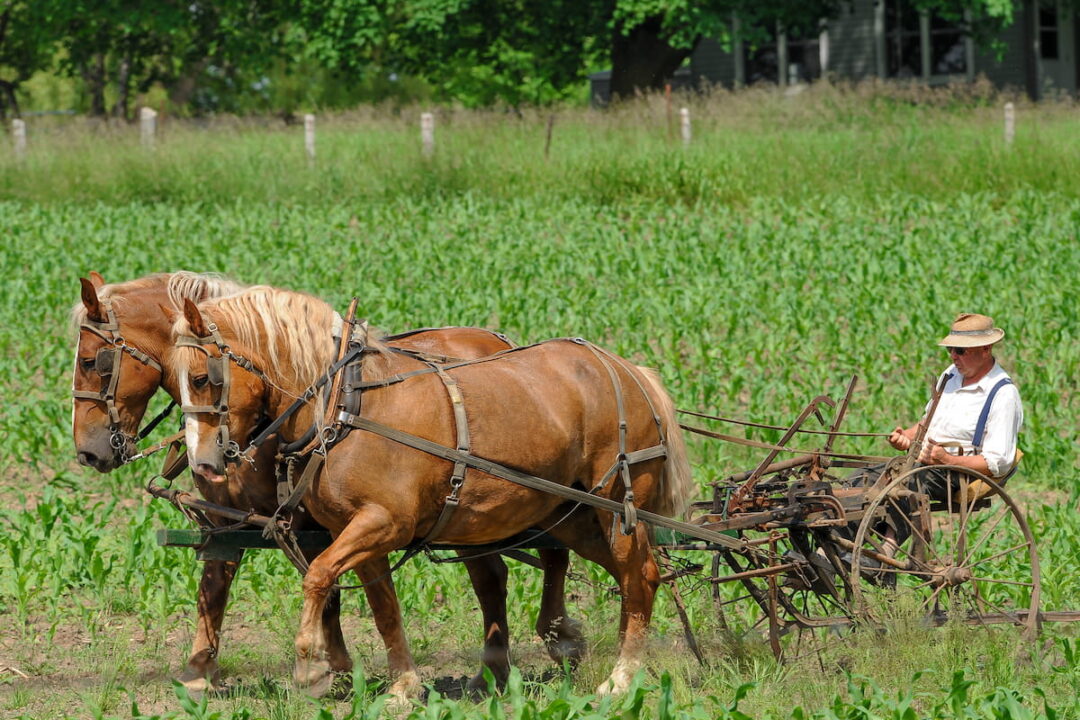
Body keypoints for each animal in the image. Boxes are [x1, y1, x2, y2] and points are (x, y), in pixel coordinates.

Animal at [71, 272, 584, 695]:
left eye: (92, 361)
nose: (88, 451)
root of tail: (496, 338)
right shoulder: (231, 521)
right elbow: (215, 585)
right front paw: (200, 671)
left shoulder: (312, 521)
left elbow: (333, 587)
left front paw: (329, 667)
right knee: (493, 575)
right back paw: (495, 671)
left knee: (551, 552)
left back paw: (558, 638)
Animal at [168, 285, 693, 697]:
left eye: (202, 377)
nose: (203, 464)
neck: (343, 406)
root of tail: (630, 371)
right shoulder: (356, 533)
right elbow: (383, 607)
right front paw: (402, 686)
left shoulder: (384, 523)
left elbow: (316, 576)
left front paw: (310, 668)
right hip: (575, 515)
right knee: (624, 576)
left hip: (618, 508)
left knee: (639, 576)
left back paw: (621, 678)